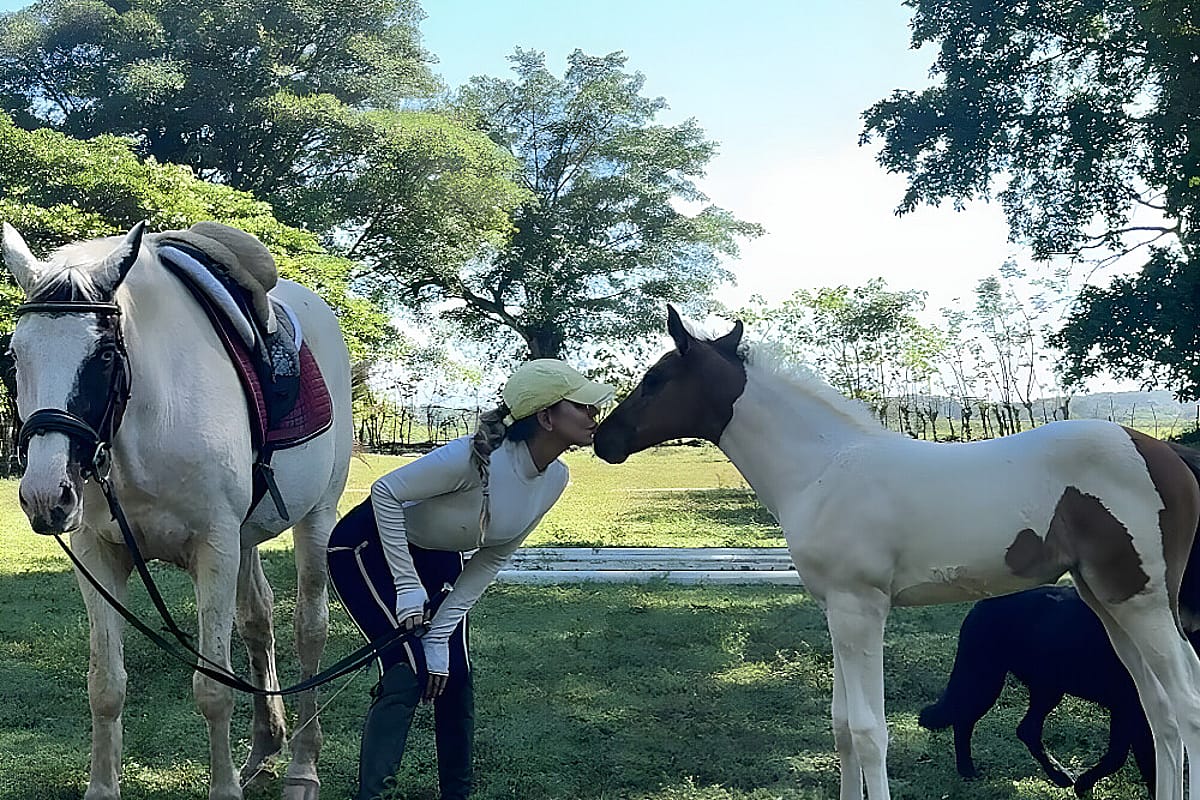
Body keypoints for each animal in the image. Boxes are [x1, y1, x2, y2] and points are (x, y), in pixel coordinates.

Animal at [2, 222, 353, 800]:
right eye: (14, 356)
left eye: (104, 355)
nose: (46, 496)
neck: (146, 420)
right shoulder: (98, 555)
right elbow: (106, 686)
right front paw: (102, 788)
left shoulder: (214, 549)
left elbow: (213, 688)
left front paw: (225, 788)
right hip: (246, 539)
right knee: (258, 621)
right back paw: (264, 747)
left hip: (316, 519)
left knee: (309, 630)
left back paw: (302, 765)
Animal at [592, 305, 1200, 800]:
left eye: (654, 379)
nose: (604, 440)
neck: (821, 469)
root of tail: (1164, 451)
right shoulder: (835, 611)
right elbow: (841, 725)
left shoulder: (860, 609)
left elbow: (868, 731)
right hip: (1106, 602)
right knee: (1158, 709)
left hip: (1142, 600)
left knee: (1186, 702)